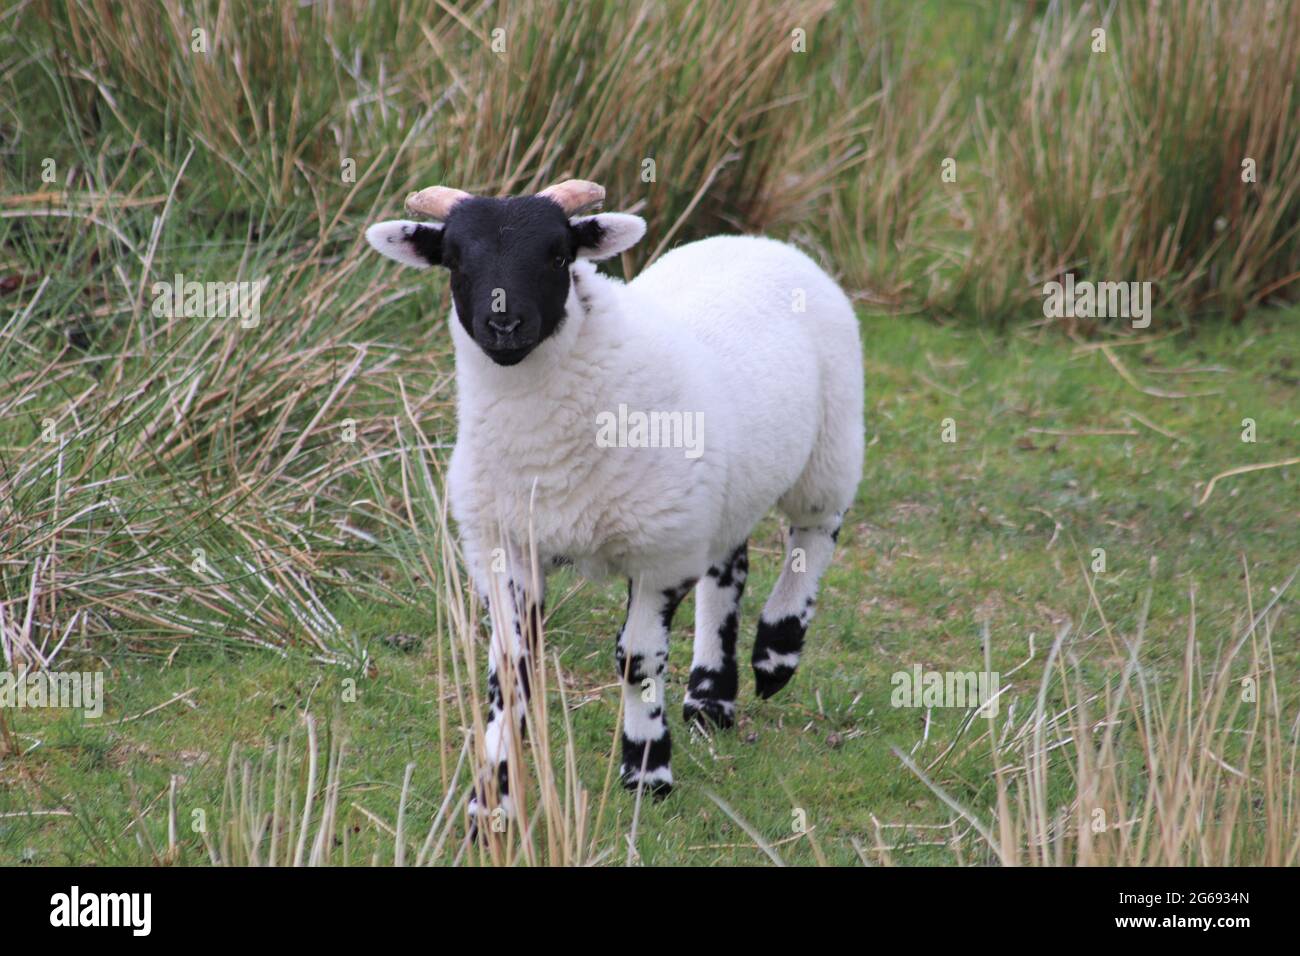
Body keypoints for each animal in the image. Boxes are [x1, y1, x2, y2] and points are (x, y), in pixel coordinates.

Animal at [365, 179, 864, 816]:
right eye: (454, 259)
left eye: (559, 256)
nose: (504, 325)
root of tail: (755, 240)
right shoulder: (503, 547)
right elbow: (510, 667)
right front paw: (492, 795)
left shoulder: (660, 552)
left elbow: (636, 661)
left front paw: (648, 769)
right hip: (717, 496)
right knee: (729, 569)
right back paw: (710, 698)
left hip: (831, 442)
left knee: (816, 532)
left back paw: (776, 651)